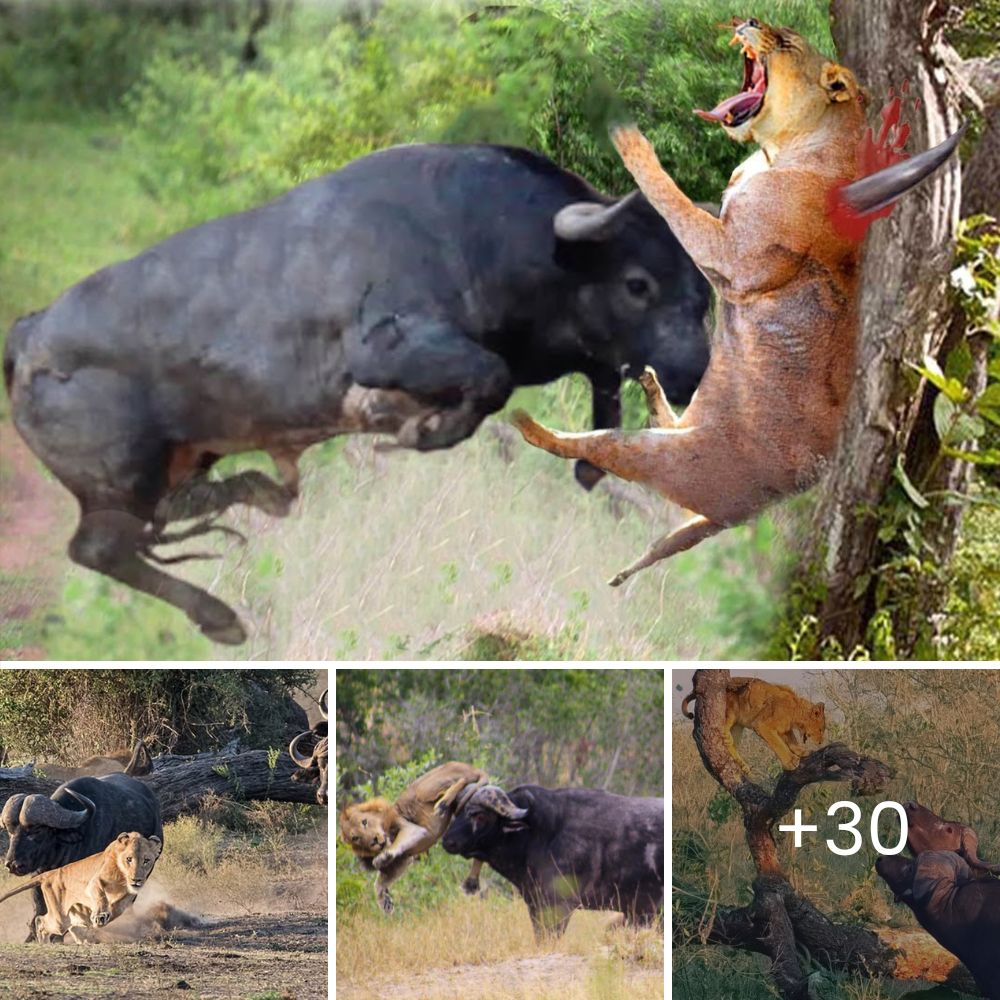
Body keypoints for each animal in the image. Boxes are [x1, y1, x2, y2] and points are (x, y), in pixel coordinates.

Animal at [0, 831, 162, 943]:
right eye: (129, 859)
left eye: (146, 860)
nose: (136, 880)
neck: (123, 879)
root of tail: (51, 873)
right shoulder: (94, 882)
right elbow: (100, 895)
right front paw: (99, 916)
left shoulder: (128, 896)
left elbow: (118, 907)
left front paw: (102, 919)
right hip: (60, 919)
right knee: (40, 920)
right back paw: (44, 941)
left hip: (71, 915)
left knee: (73, 926)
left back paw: (84, 939)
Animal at [340, 761, 487, 913]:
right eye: (356, 838)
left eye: (364, 822)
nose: (374, 841)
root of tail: (472, 767)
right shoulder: (402, 859)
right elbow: (379, 882)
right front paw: (384, 901)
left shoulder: (412, 828)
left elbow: (396, 845)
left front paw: (382, 857)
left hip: (425, 787)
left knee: (462, 780)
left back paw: (443, 804)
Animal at [682, 677, 825, 774]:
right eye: (820, 729)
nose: (820, 742)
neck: (795, 711)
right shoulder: (762, 725)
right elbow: (778, 744)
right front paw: (791, 762)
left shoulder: (785, 729)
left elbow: (792, 742)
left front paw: (803, 752)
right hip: (731, 708)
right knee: (721, 728)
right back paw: (727, 738)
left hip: (738, 726)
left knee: (731, 746)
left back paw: (743, 766)